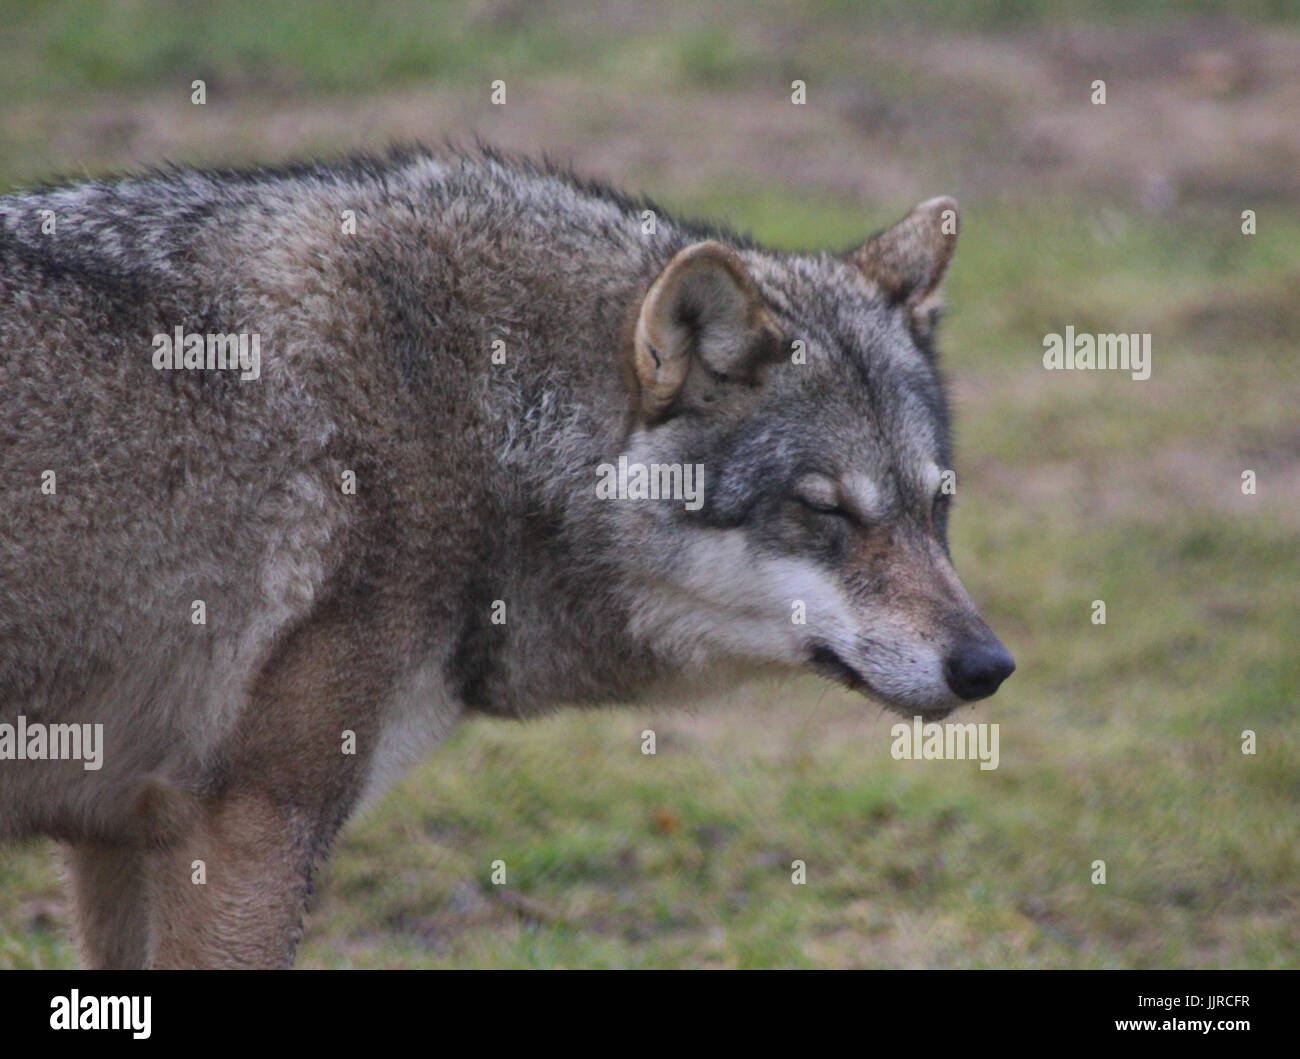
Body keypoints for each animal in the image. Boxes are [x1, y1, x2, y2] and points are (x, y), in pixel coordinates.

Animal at [0, 145, 1014, 968]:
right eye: (826, 509)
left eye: (937, 505)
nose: (989, 666)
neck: (484, 425)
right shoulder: (247, 828)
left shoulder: (119, 835)